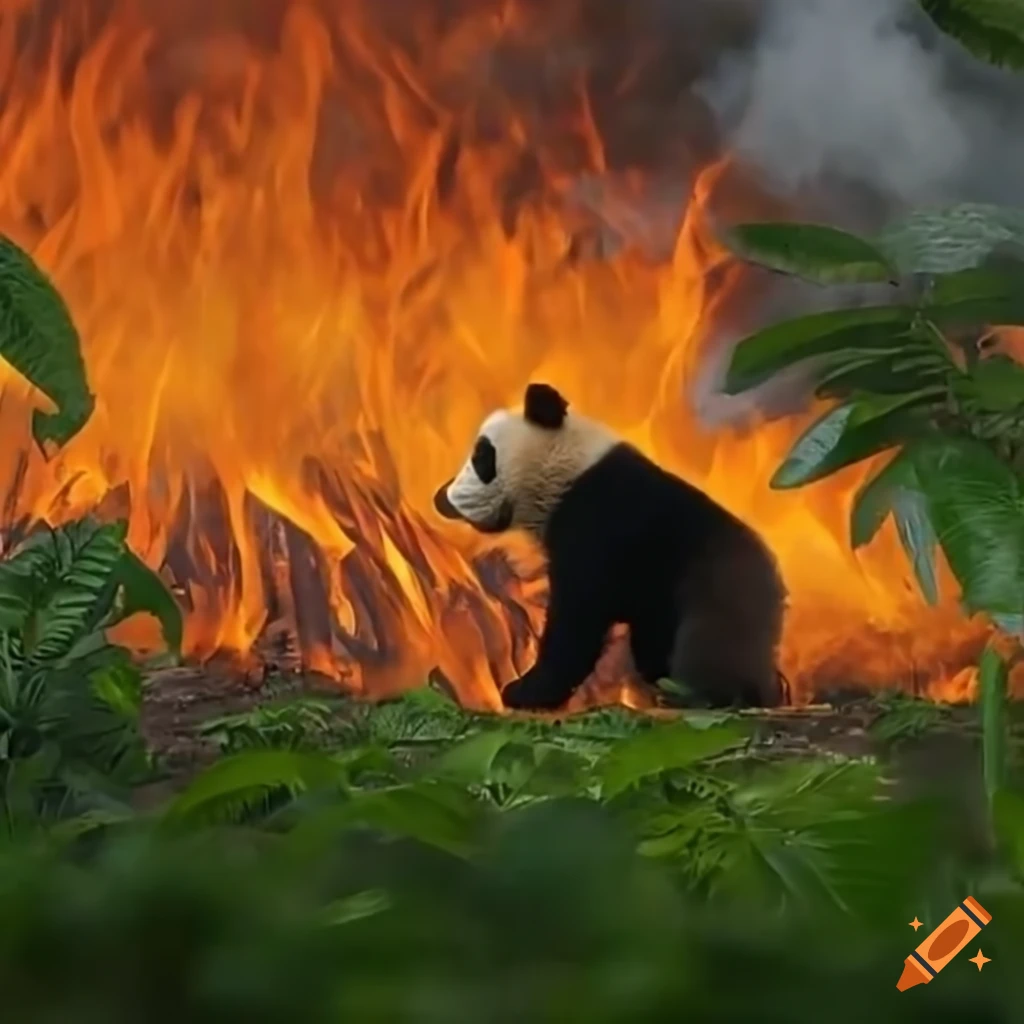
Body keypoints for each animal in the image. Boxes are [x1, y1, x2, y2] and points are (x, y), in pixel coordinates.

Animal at [433, 382, 787, 712]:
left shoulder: (602, 521)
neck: (565, 468)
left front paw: (525, 691)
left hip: (718, 582)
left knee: (711, 642)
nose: (441, 498)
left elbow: (579, 615)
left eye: (482, 457)